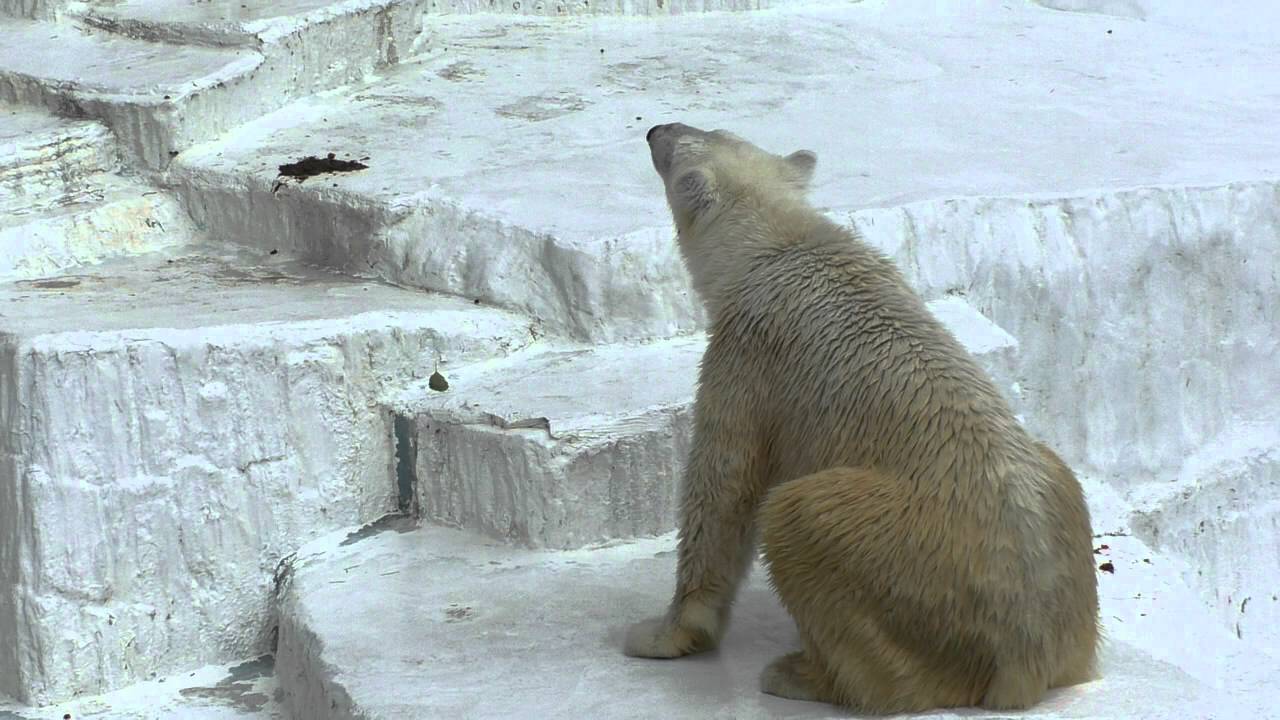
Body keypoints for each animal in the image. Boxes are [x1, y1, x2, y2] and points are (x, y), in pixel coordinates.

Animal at [623, 122, 1100, 713]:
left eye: (678, 147)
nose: (653, 129)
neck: (780, 245)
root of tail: (1029, 656)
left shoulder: (747, 354)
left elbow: (723, 487)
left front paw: (661, 634)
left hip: (906, 549)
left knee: (798, 513)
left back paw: (802, 675)